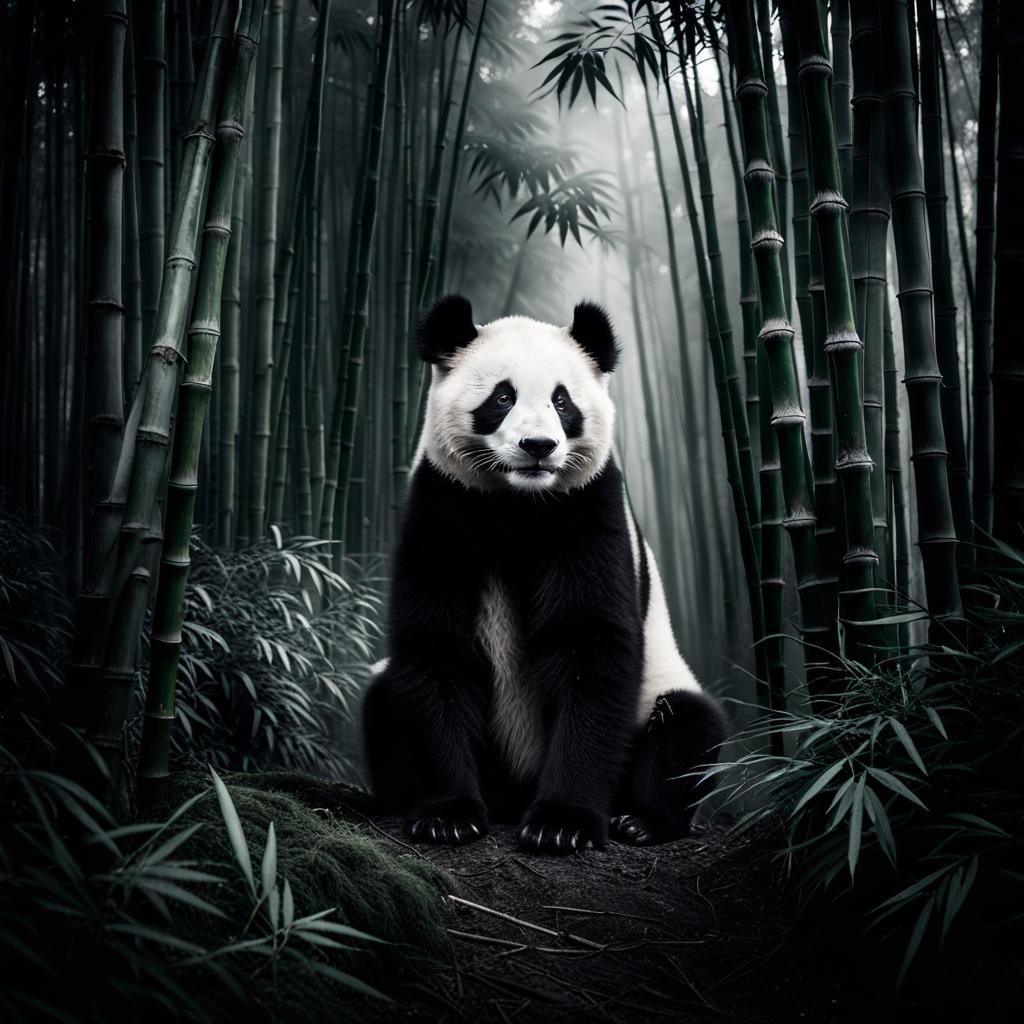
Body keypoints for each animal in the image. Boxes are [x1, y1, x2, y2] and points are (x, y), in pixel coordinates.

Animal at [362, 295, 726, 853]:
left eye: (562, 402)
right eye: (502, 397)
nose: (538, 446)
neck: (520, 503)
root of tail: (514, 790)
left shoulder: (587, 507)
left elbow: (590, 645)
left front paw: (562, 823)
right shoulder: (442, 504)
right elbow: (434, 644)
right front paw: (447, 816)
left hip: (661, 689)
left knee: (687, 726)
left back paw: (641, 820)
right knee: (385, 698)